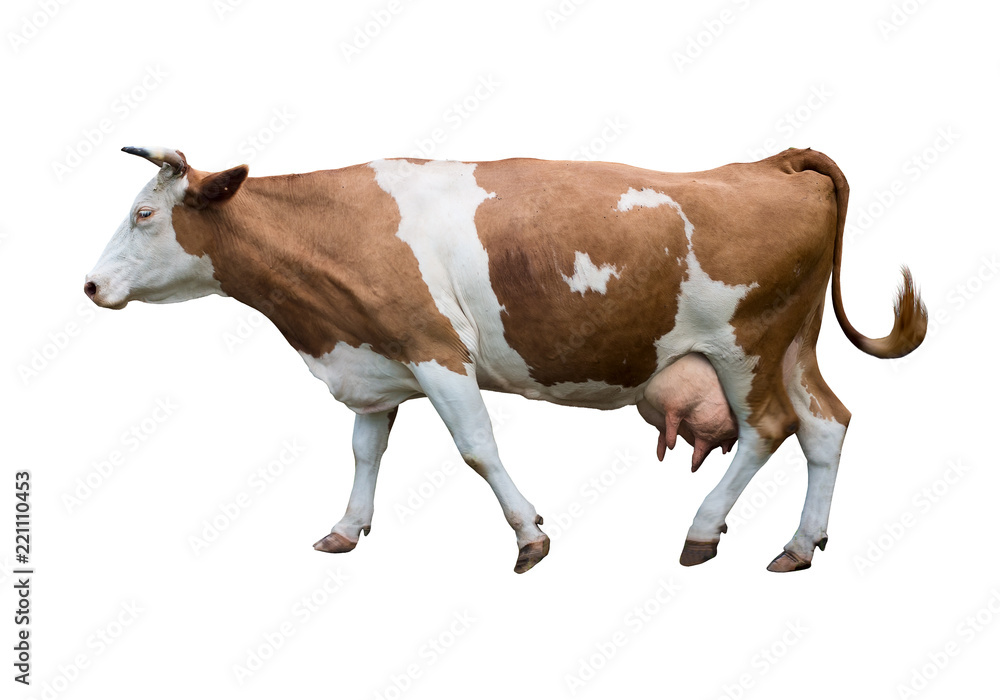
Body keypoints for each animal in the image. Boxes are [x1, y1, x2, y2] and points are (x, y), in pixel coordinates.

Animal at [84, 146, 927, 574]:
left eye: (144, 213)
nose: (90, 285)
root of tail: (773, 162)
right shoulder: (375, 358)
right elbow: (364, 452)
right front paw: (347, 528)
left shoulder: (437, 353)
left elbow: (477, 448)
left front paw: (530, 535)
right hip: (792, 346)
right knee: (826, 425)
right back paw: (798, 545)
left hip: (745, 344)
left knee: (768, 430)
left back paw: (702, 529)